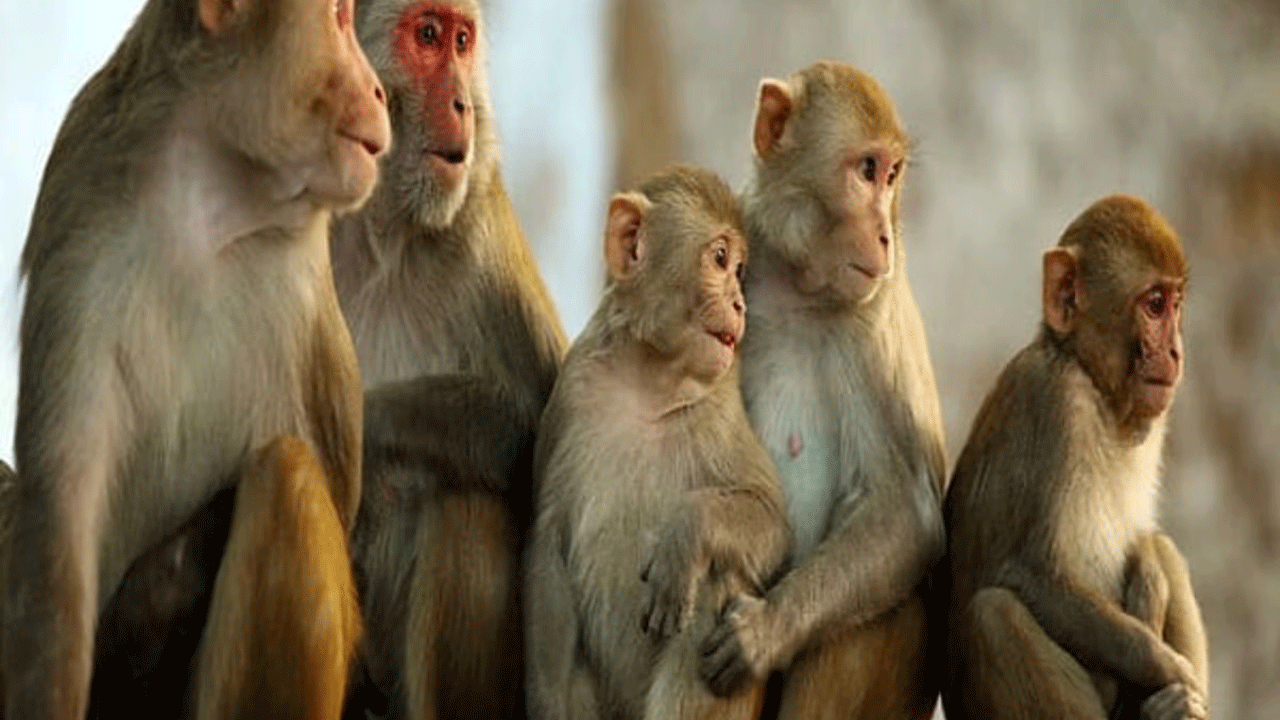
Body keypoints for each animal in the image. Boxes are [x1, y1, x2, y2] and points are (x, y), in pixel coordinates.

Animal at [1, 0, 389, 715]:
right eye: (340, 17)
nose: (379, 90)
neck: (215, 197)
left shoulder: (303, 279)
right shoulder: (84, 221)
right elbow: (60, 519)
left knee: (288, 476)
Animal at [327, 2, 567, 718]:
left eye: (462, 41)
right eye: (427, 38)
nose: (462, 102)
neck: (377, 229)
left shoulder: (481, 233)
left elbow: (544, 435)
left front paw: (367, 426)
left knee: (466, 500)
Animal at [524, 165, 791, 720]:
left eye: (740, 270)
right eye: (720, 259)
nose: (739, 303)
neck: (650, 383)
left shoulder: (721, 411)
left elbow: (770, 519)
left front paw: (686, 535)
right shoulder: (573, 391)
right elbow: (548, 539)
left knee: (717, 576)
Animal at [693, 61, 947, 720]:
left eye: (892, 174)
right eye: (866, 170)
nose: (885, 236)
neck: (796, 285)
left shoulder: (874, 322)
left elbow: (905, 509)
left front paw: (764, 632)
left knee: (877, 610)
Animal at [940, 195, 1210, 720]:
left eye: (1175, 304)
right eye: (1154, 305)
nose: (1175, 350)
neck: (1092, 380)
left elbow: (1149, 548)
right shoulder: (1058, 402)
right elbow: (1033, 575)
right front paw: (1169, 670)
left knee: (1164, 549)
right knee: (994, 616)